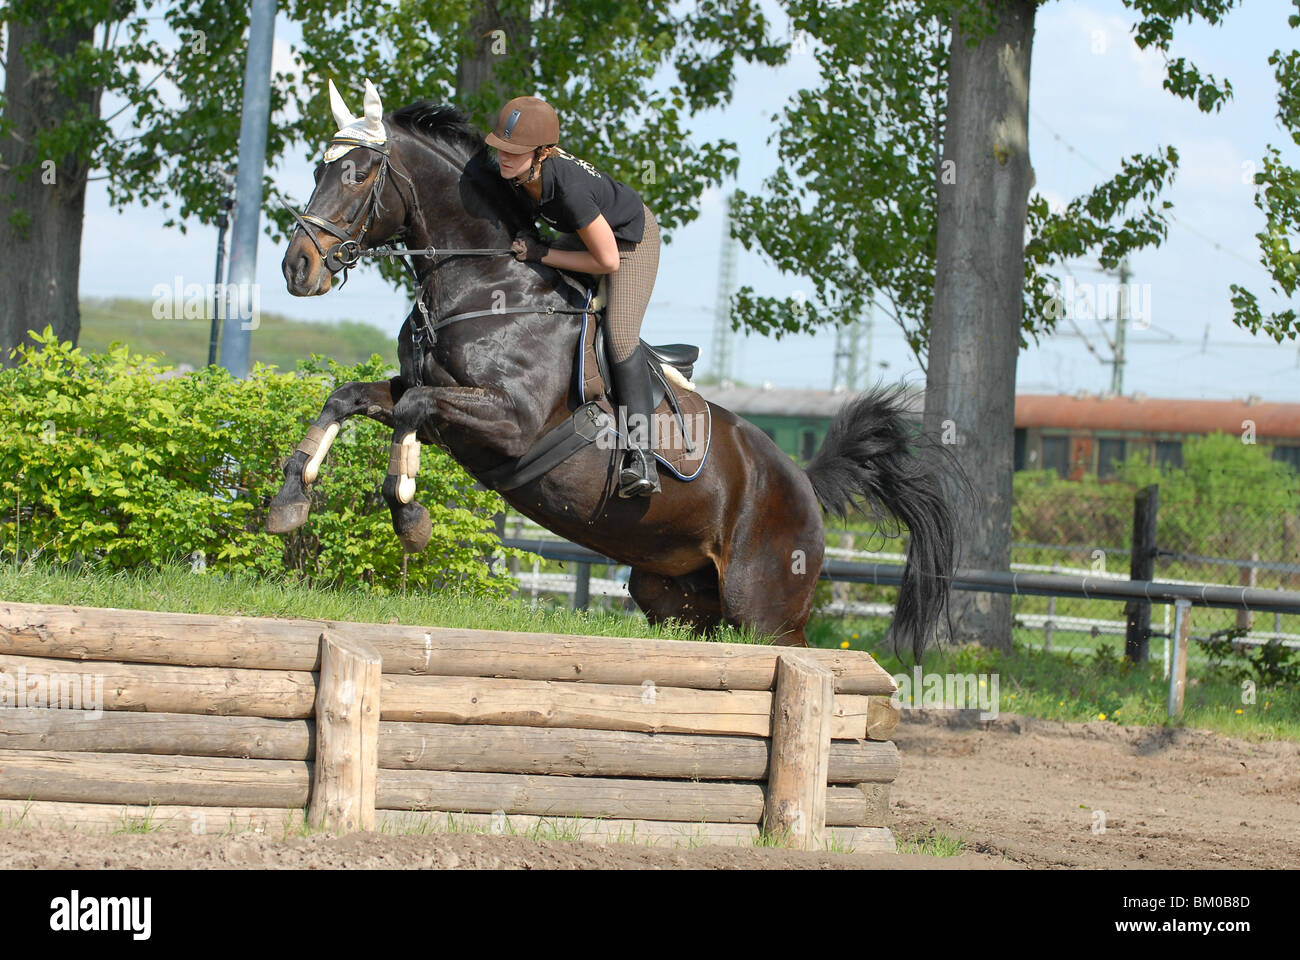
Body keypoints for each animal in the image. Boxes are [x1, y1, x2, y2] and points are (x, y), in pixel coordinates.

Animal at [272, 80, 963, 652]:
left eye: (359, 174)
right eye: (319, 168)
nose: (297, 268)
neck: (486, 285)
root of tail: (803, 481)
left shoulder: (511, 423)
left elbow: (411, 411)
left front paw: (410, 519)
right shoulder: (435, 401)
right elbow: (347, 397)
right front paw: (288, 502)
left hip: (766, 612)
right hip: (675, 596)